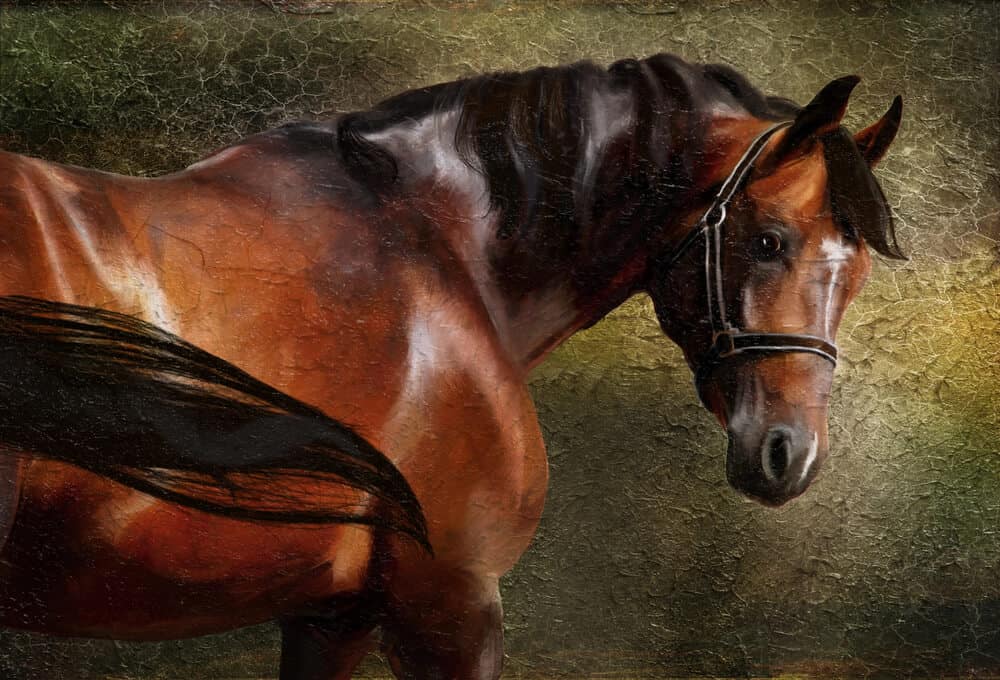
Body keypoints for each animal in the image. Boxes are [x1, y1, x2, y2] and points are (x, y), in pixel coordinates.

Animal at [0, 53, 903, 678]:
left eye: (856, 271)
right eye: (770, 241)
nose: (790, 455)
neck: (438, 247)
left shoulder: (332, 615)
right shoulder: (448, 604)